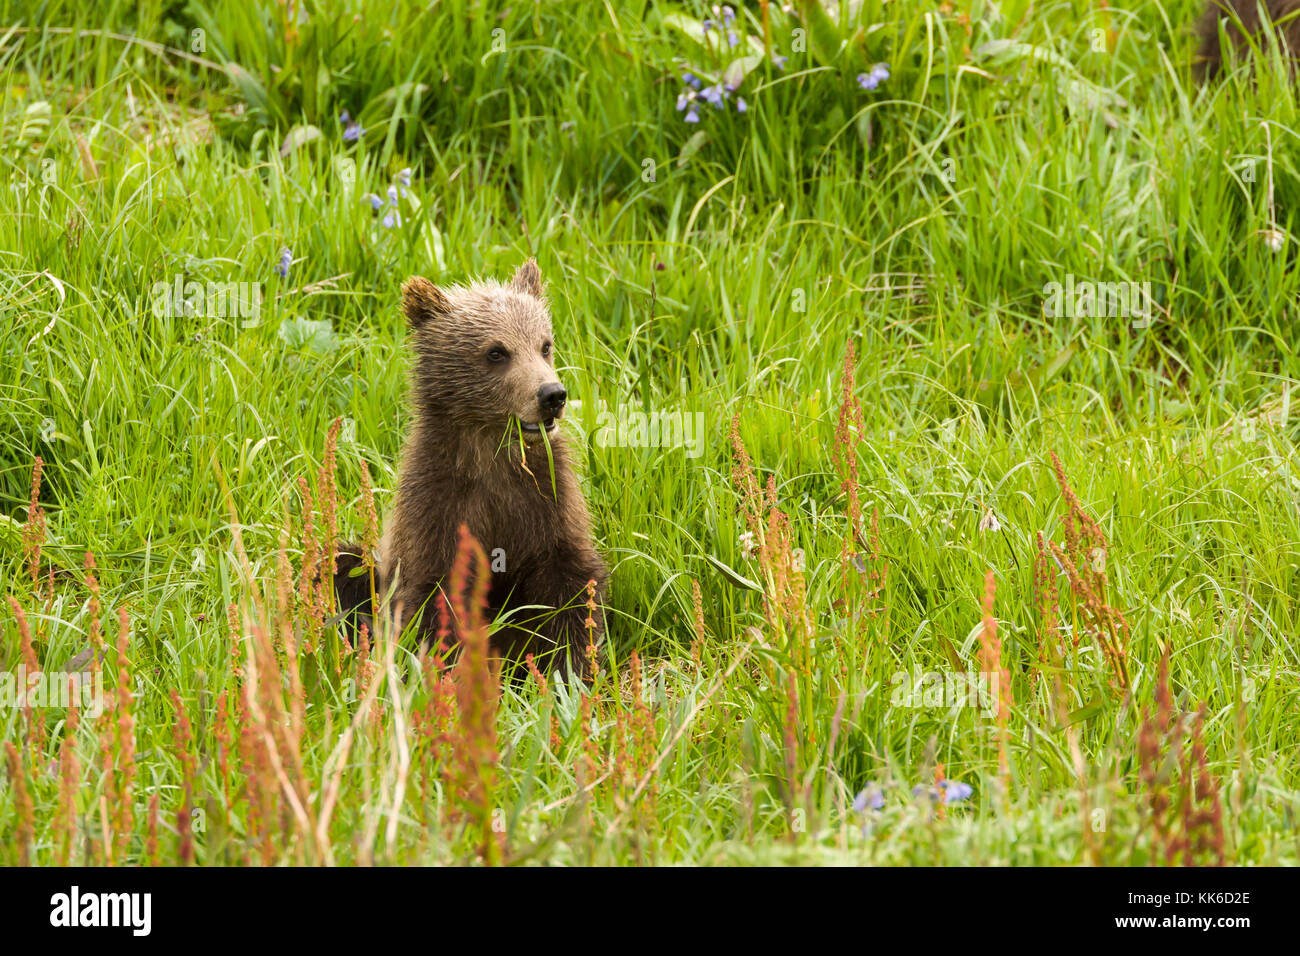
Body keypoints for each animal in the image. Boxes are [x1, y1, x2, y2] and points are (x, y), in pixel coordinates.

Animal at [334, 259, 607, 679]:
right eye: (496, 351)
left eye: (544, 344)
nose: (552, 395)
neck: (491, 454)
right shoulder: (438, 502)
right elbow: (436, 598)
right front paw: (445, 669)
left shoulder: (548, 502)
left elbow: (572, 591)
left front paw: (572, 668)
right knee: (340, 565)